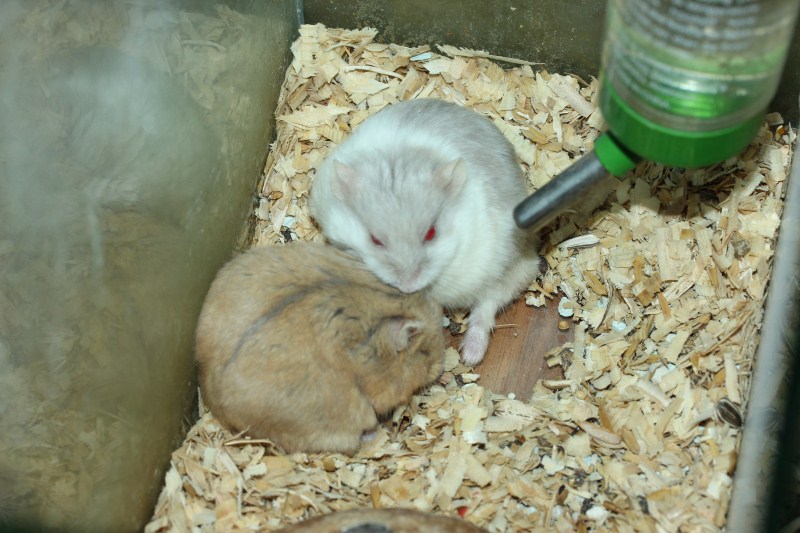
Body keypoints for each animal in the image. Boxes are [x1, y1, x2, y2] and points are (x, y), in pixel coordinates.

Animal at [310, 98, 540, 365]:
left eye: (431, 233)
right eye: (375, 240)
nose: (408, 287)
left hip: (513, 269)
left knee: (487, 306)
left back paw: (470, 356)